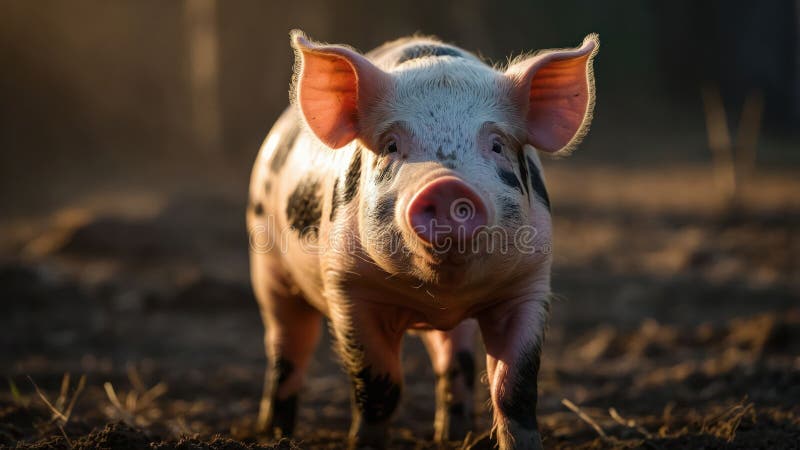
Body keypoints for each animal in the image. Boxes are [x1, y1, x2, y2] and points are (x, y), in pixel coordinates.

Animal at [247, 29, 598, 449]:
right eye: (391, 146)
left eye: (497, 144)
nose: (447, 186)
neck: (441, 293)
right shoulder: (348, 287)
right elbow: (379, 386)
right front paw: (364, 442)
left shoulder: (528, 284)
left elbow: (515, 388)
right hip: (267, 266)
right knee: (286, 346)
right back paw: (273, 431)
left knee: (453, 357)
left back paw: (453, 434)